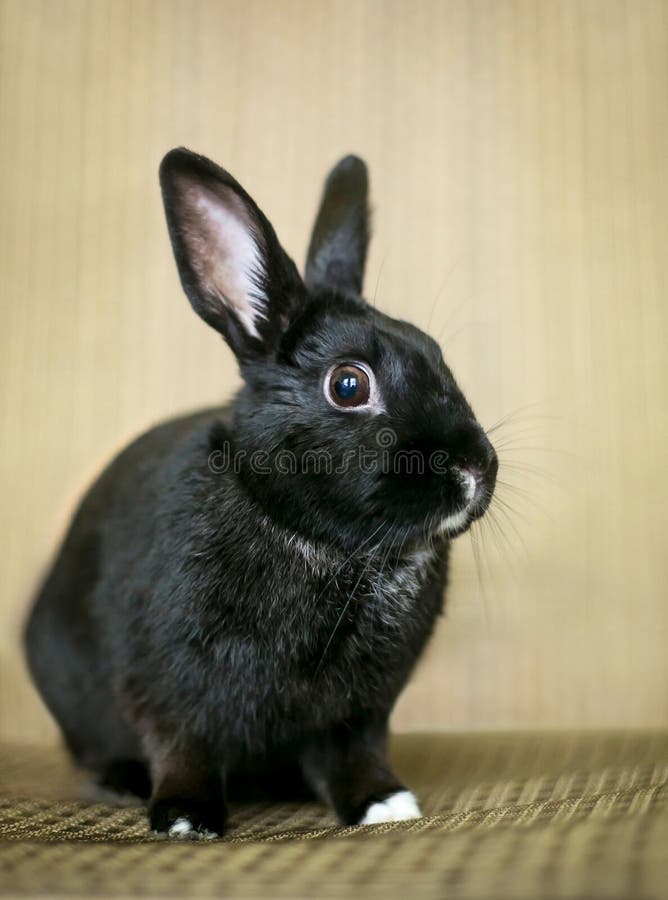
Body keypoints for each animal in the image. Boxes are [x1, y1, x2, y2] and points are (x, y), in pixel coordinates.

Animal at [24, 148, 498, 838]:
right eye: (349, 385)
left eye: (438, 354)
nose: (474, 471)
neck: (320, 541)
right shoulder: (171, 684)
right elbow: (184, 746)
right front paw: (186, 819)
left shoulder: (360, 711)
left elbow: (355, 755)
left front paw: (384, 804)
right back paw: (124, 782)